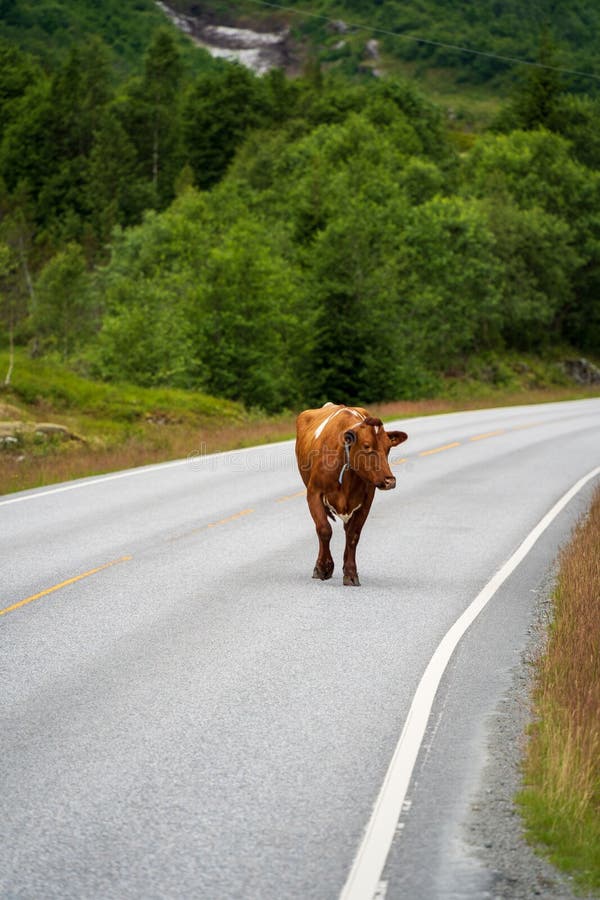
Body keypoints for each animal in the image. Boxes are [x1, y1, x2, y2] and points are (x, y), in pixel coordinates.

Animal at [295, 402, 408, 586]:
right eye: (367, 446)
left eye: (388, 448)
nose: (390, 481)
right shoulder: (313, 493)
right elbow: (324, 530)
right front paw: (323, 568)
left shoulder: (366, 501)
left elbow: (353, 535)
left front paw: (350, 572)